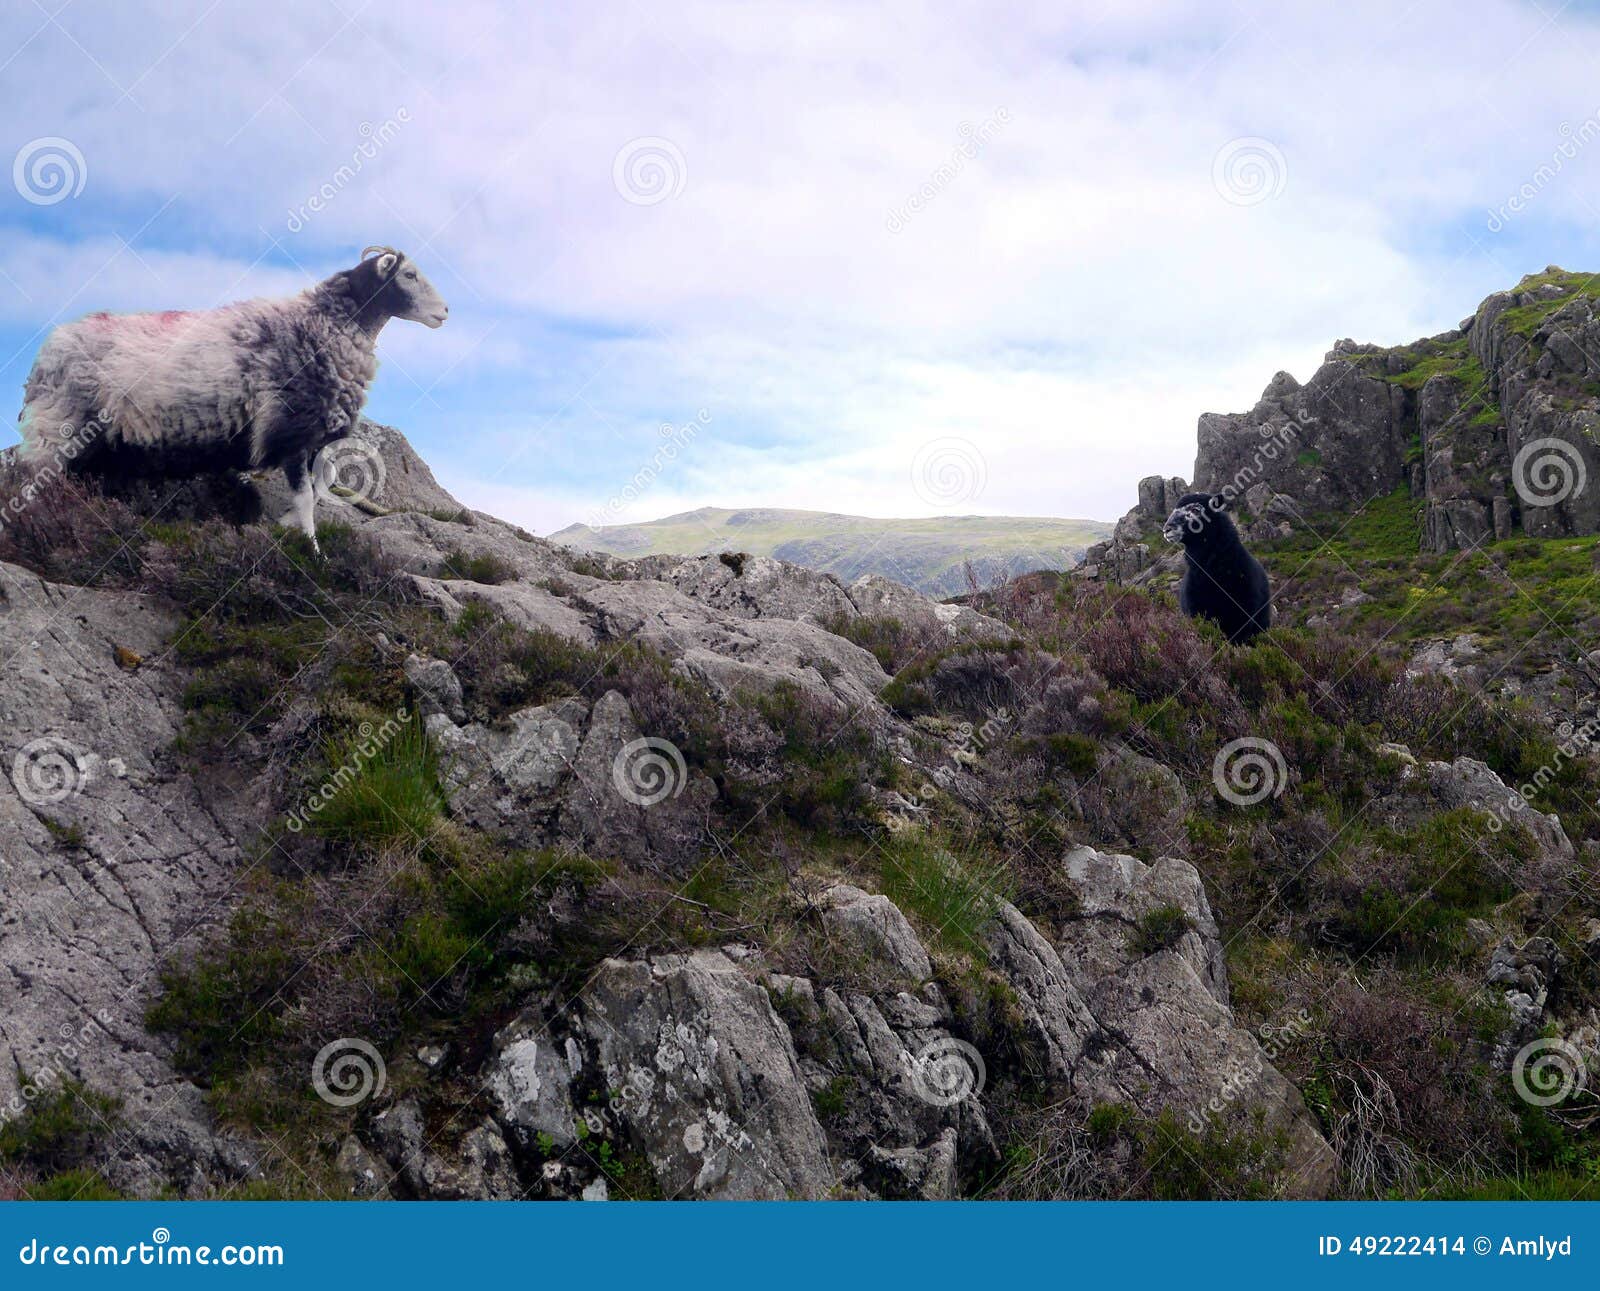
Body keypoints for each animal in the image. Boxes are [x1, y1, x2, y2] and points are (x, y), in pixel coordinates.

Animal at [15, 246, 448, 551]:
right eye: (409, 274)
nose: (445, 311)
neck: (326, 325)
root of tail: (48, 350)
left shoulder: (314, 439)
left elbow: (321, 489)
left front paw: (286, 525)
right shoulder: (291, 429)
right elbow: (308, 497)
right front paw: (313, 551)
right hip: (59, 428)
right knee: (31, 486)